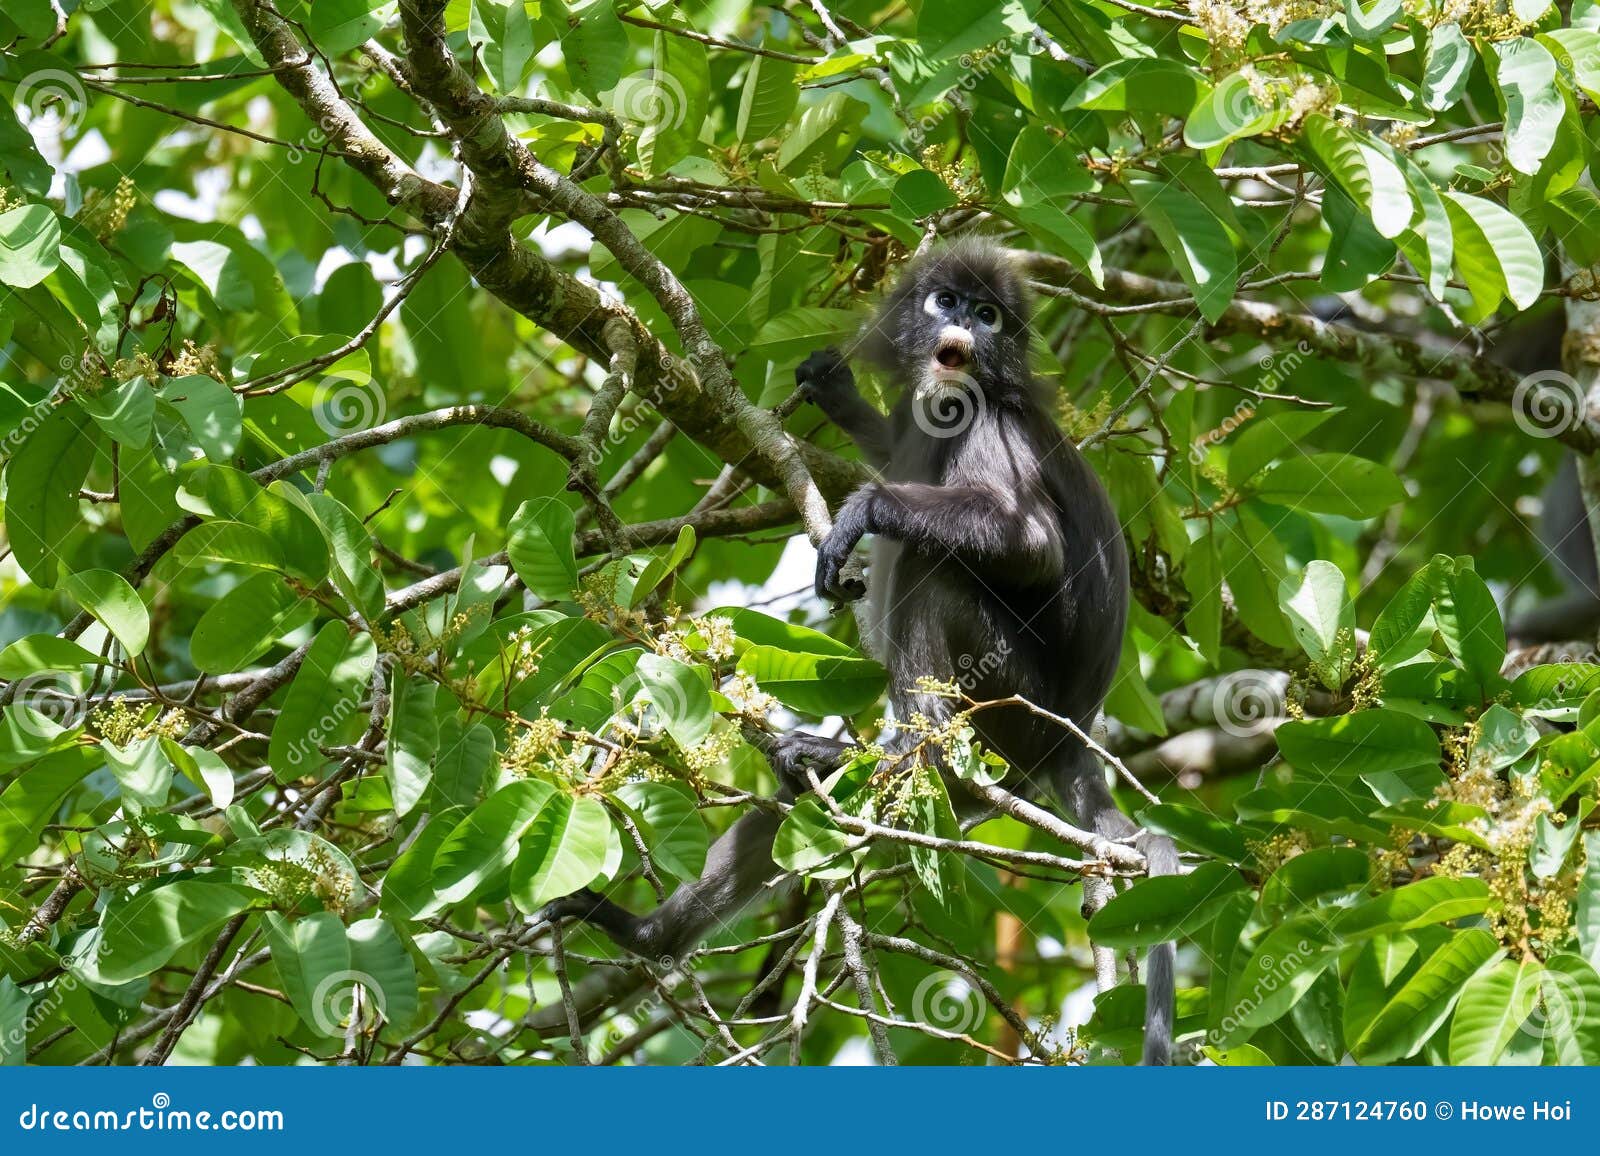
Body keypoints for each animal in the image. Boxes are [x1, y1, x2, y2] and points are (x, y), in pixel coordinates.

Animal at [541, 239, 1179, 1063]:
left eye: (989, 315)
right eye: (948, 303)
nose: (965, 332)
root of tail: (1071, 737)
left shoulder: (990, 429)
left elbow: (1032, 544)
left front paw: (867, 509)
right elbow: (893, 445)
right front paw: (838, 394)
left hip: (1015, 704)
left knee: (936, 570)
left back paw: (909, 759)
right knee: (792, 800)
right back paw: (649, 934)